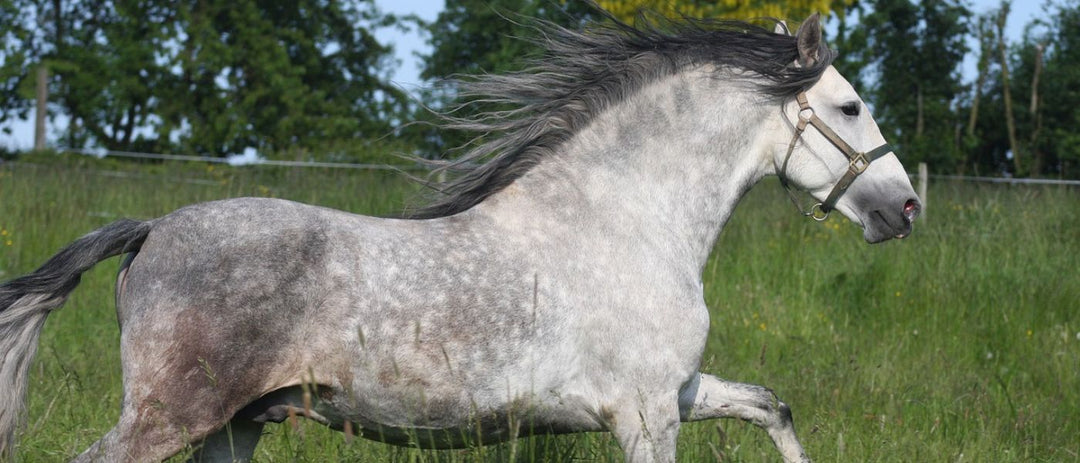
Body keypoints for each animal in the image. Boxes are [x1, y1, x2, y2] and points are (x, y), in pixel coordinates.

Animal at [0, 12, 920, 463]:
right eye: (849, 107)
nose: (905, 206)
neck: (627, 221)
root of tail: (151, 231)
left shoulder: (676, 392)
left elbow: (771, 405)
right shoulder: (646, 414)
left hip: (236, 425)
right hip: (171, 418)